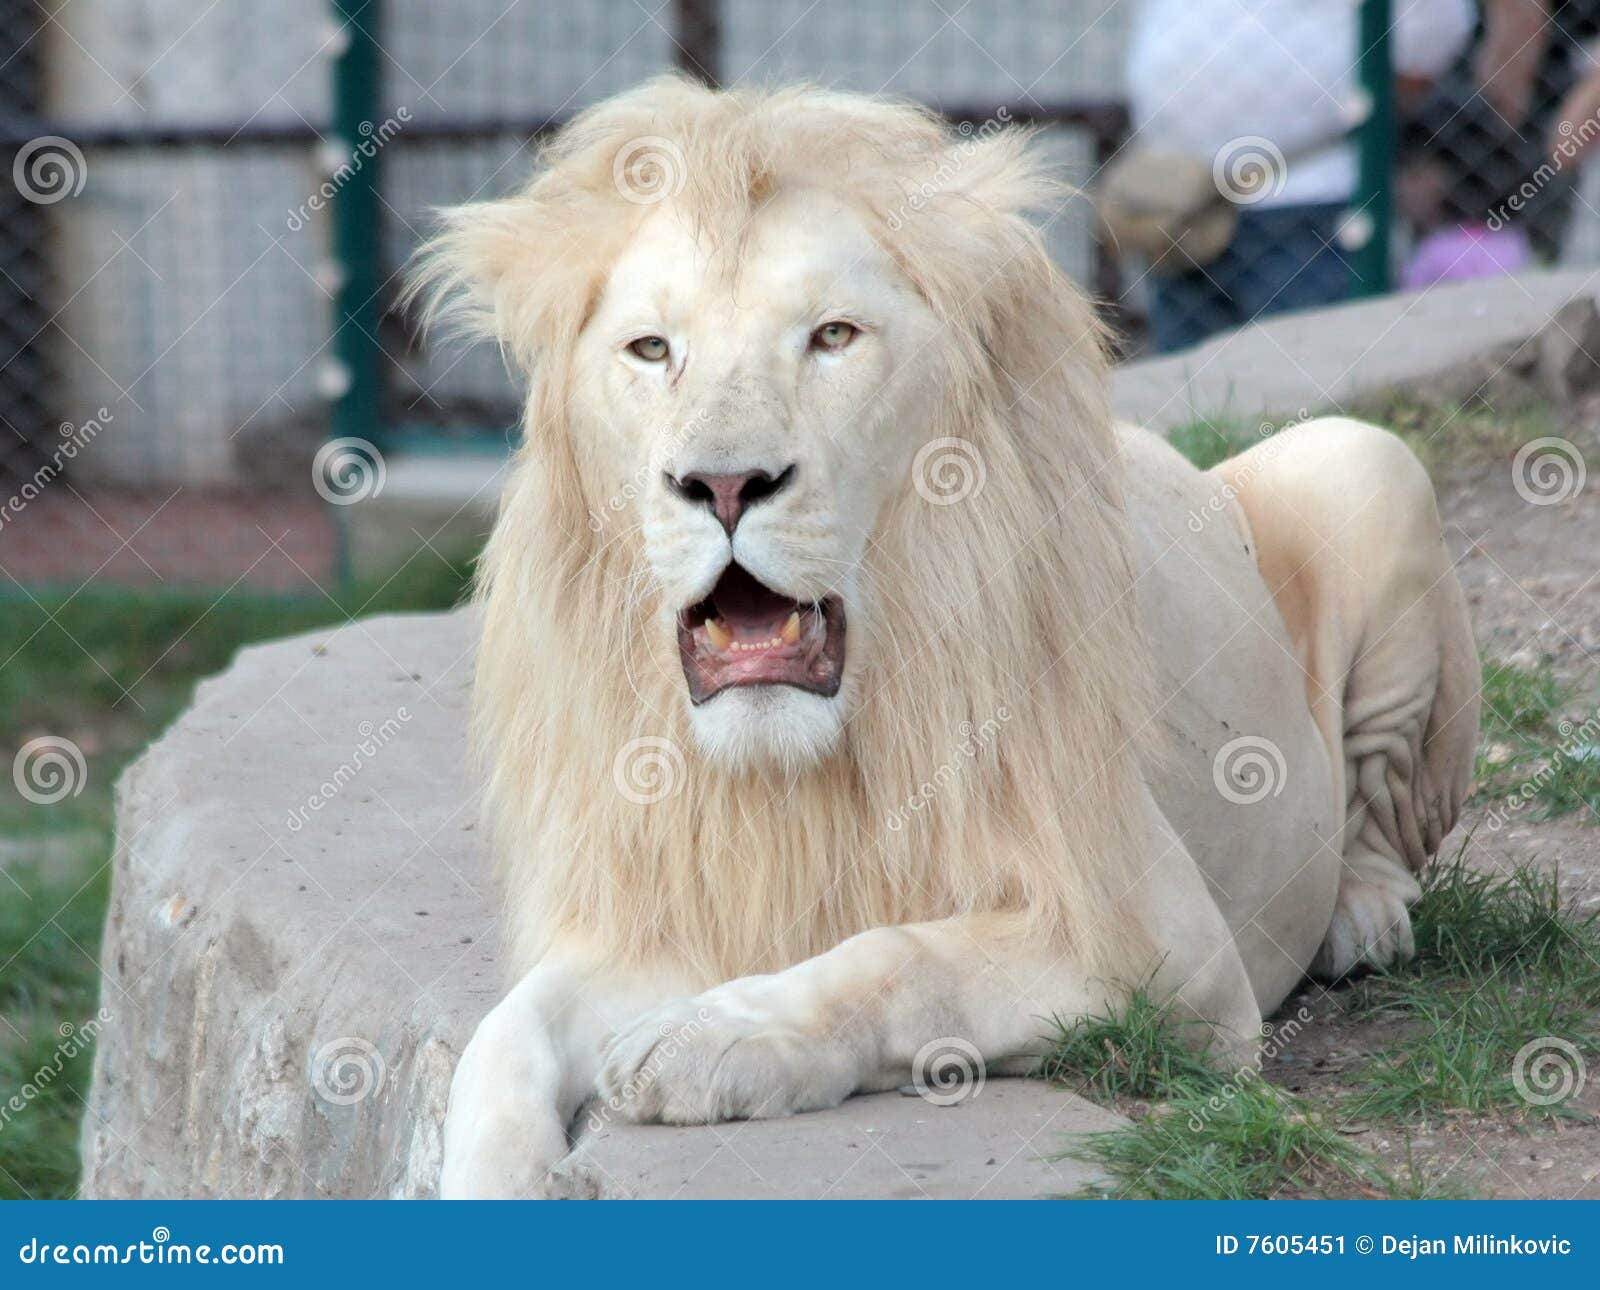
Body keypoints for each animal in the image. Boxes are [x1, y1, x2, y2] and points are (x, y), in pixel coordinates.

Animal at [408, 77, 1480, 1198]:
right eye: (652, 350)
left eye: (833, 336)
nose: (724, 484)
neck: (805, 765)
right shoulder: (681, 907)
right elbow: (504, 1038)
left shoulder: (1162, 946)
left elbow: (902, 959)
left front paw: (712, 1040)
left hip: (1365, 461)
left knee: (1380, 814)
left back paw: (1360, 917)